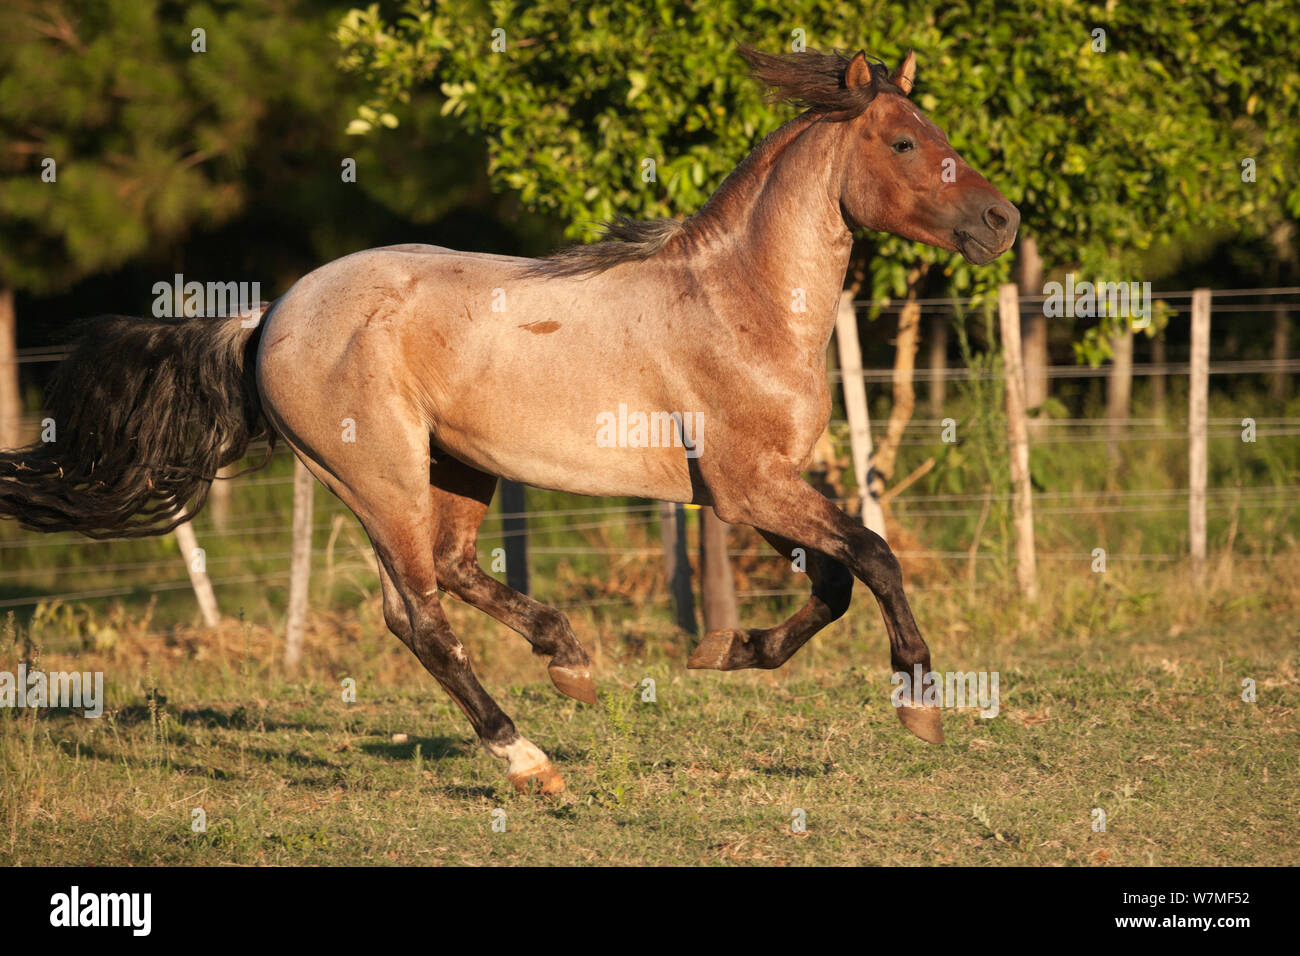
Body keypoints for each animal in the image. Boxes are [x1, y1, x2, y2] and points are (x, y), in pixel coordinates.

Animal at [0, 46, 1018, 794]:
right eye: (904, 143)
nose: (1003, 221)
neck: (740, 301)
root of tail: (269, 315)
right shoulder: (747, 484)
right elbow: (875, 555)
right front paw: (921, 702)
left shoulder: (752, 488)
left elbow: (838, 579)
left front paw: (730, 649)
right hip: (378, 479)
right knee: (416, 614)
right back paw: (526, 757)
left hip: (455, 468)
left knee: (451, 573)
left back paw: (569, 659)